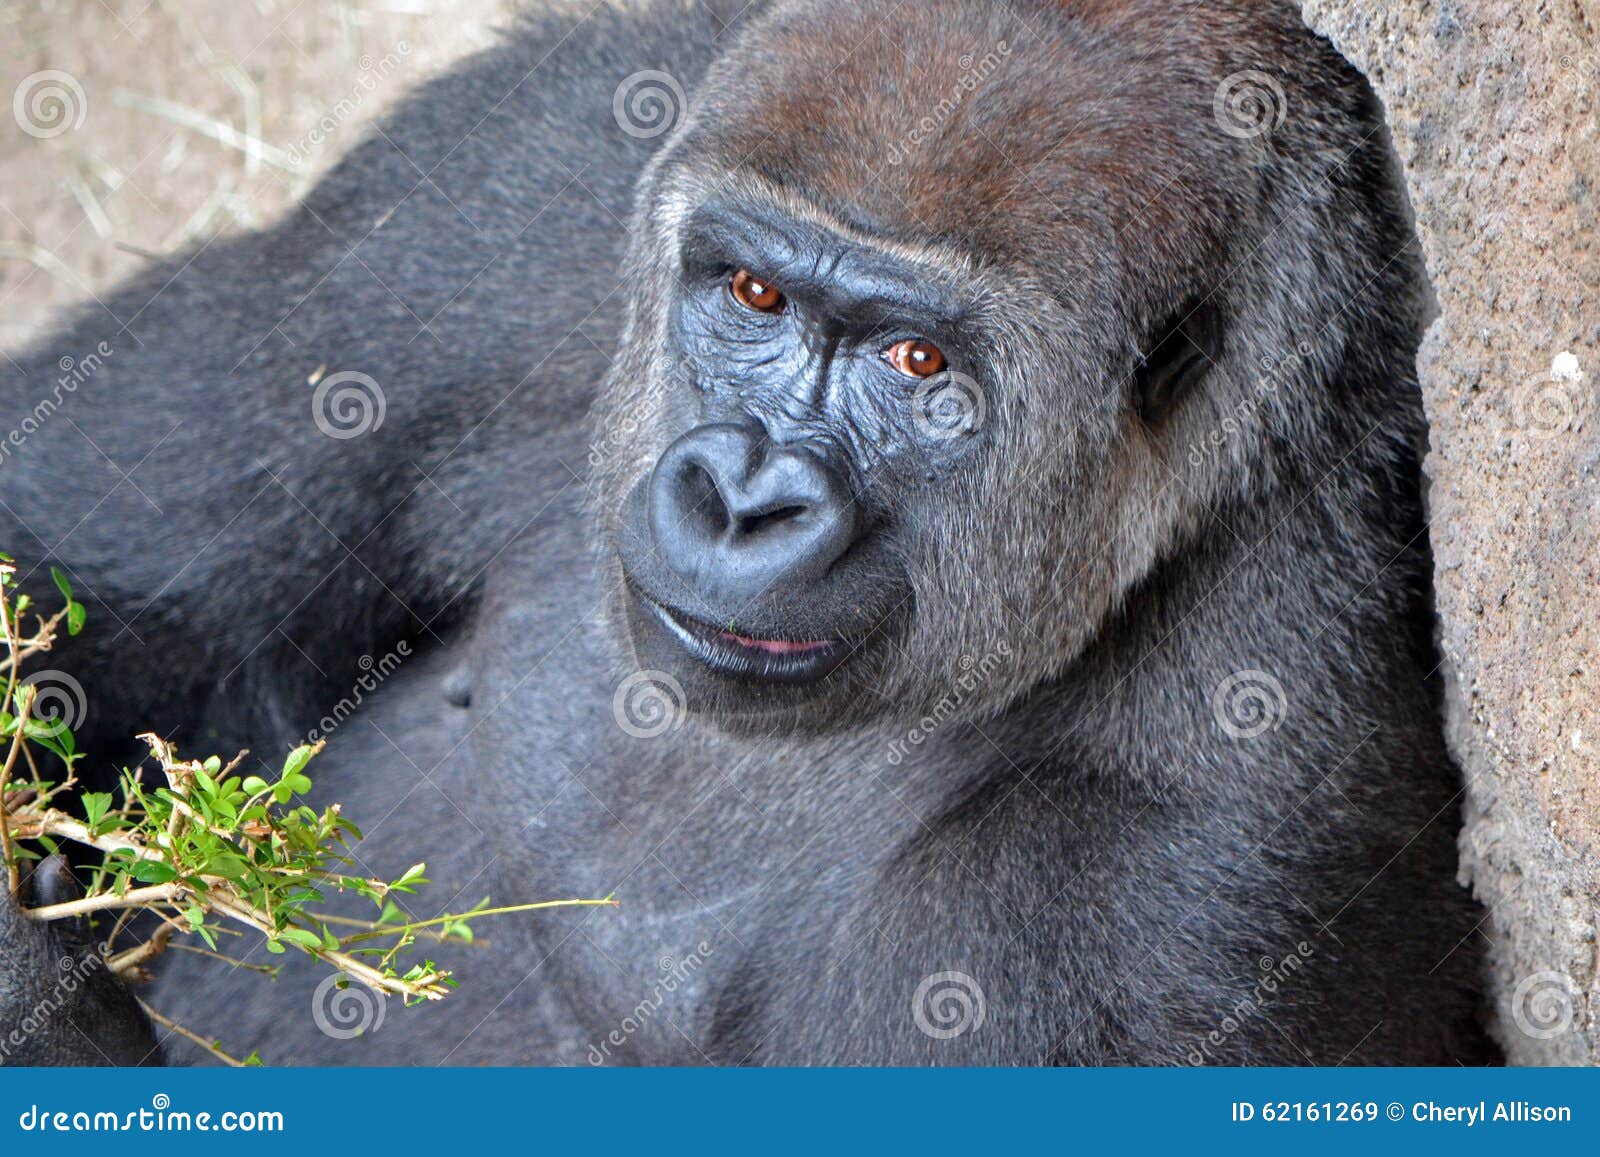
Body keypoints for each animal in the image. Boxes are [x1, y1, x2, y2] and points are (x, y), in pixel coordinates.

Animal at [0, 0, 1493, 1065]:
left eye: (917, 365)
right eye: (755, 295)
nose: (740, 498)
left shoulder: (1174, 901)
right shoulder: (508, 188)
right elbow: (93, 559)